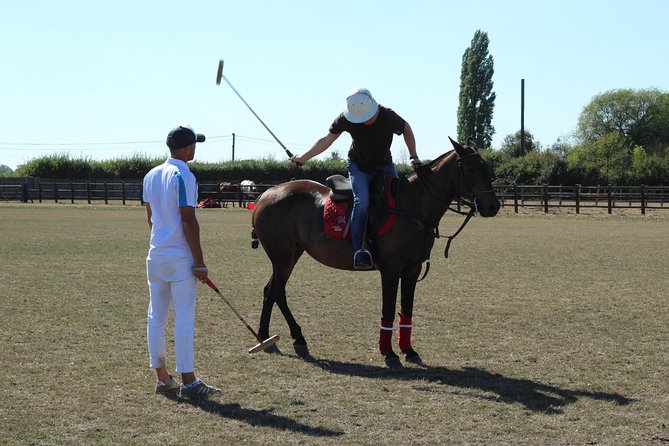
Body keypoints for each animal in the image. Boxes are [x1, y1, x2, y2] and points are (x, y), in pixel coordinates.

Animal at [250, 137, 500, 367]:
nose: (493, 206)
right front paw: (389, 353)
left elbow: (406, 309)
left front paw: (409, 351)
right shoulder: (390, 269)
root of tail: (266, 194)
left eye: (486, 166)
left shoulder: (412, 269)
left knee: (271, 291)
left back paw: (276, 338)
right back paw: (282, 338)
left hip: (292, 254)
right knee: (276, 291)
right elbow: (388, 309)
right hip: (282, 256)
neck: (412, 205)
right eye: (471, 168)